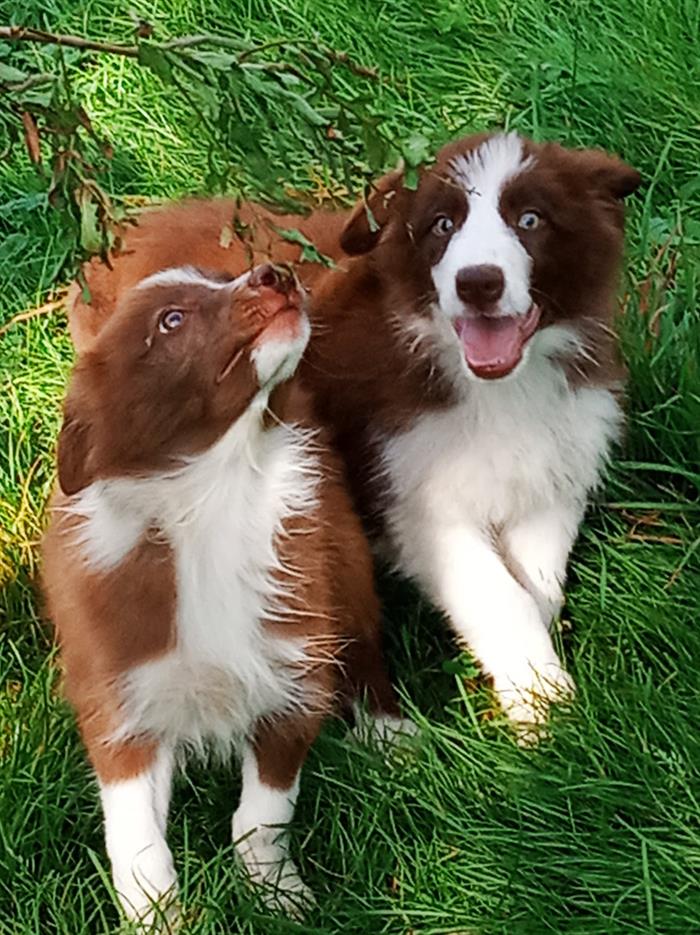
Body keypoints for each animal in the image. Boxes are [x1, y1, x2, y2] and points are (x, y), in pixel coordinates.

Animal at [42, 262, 404, 928]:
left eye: (219, 276)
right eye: (171, 321)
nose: (274, 273)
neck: (217, 494)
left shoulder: (292, 673)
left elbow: (263, 813)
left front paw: (275, 894)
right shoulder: (119, 701)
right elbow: (135, 839)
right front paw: (156, 918)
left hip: (346, 561)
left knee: (364, 641)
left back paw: (394, 736)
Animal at [304, 132, 644, 732]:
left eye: (530, 219)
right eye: (442, 224)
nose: (478, 282)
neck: (499, 391)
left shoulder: (554, 476)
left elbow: (537, 586)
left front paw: (528, 685)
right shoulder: (414, 500)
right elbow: (497, 594)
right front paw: (542, 706)